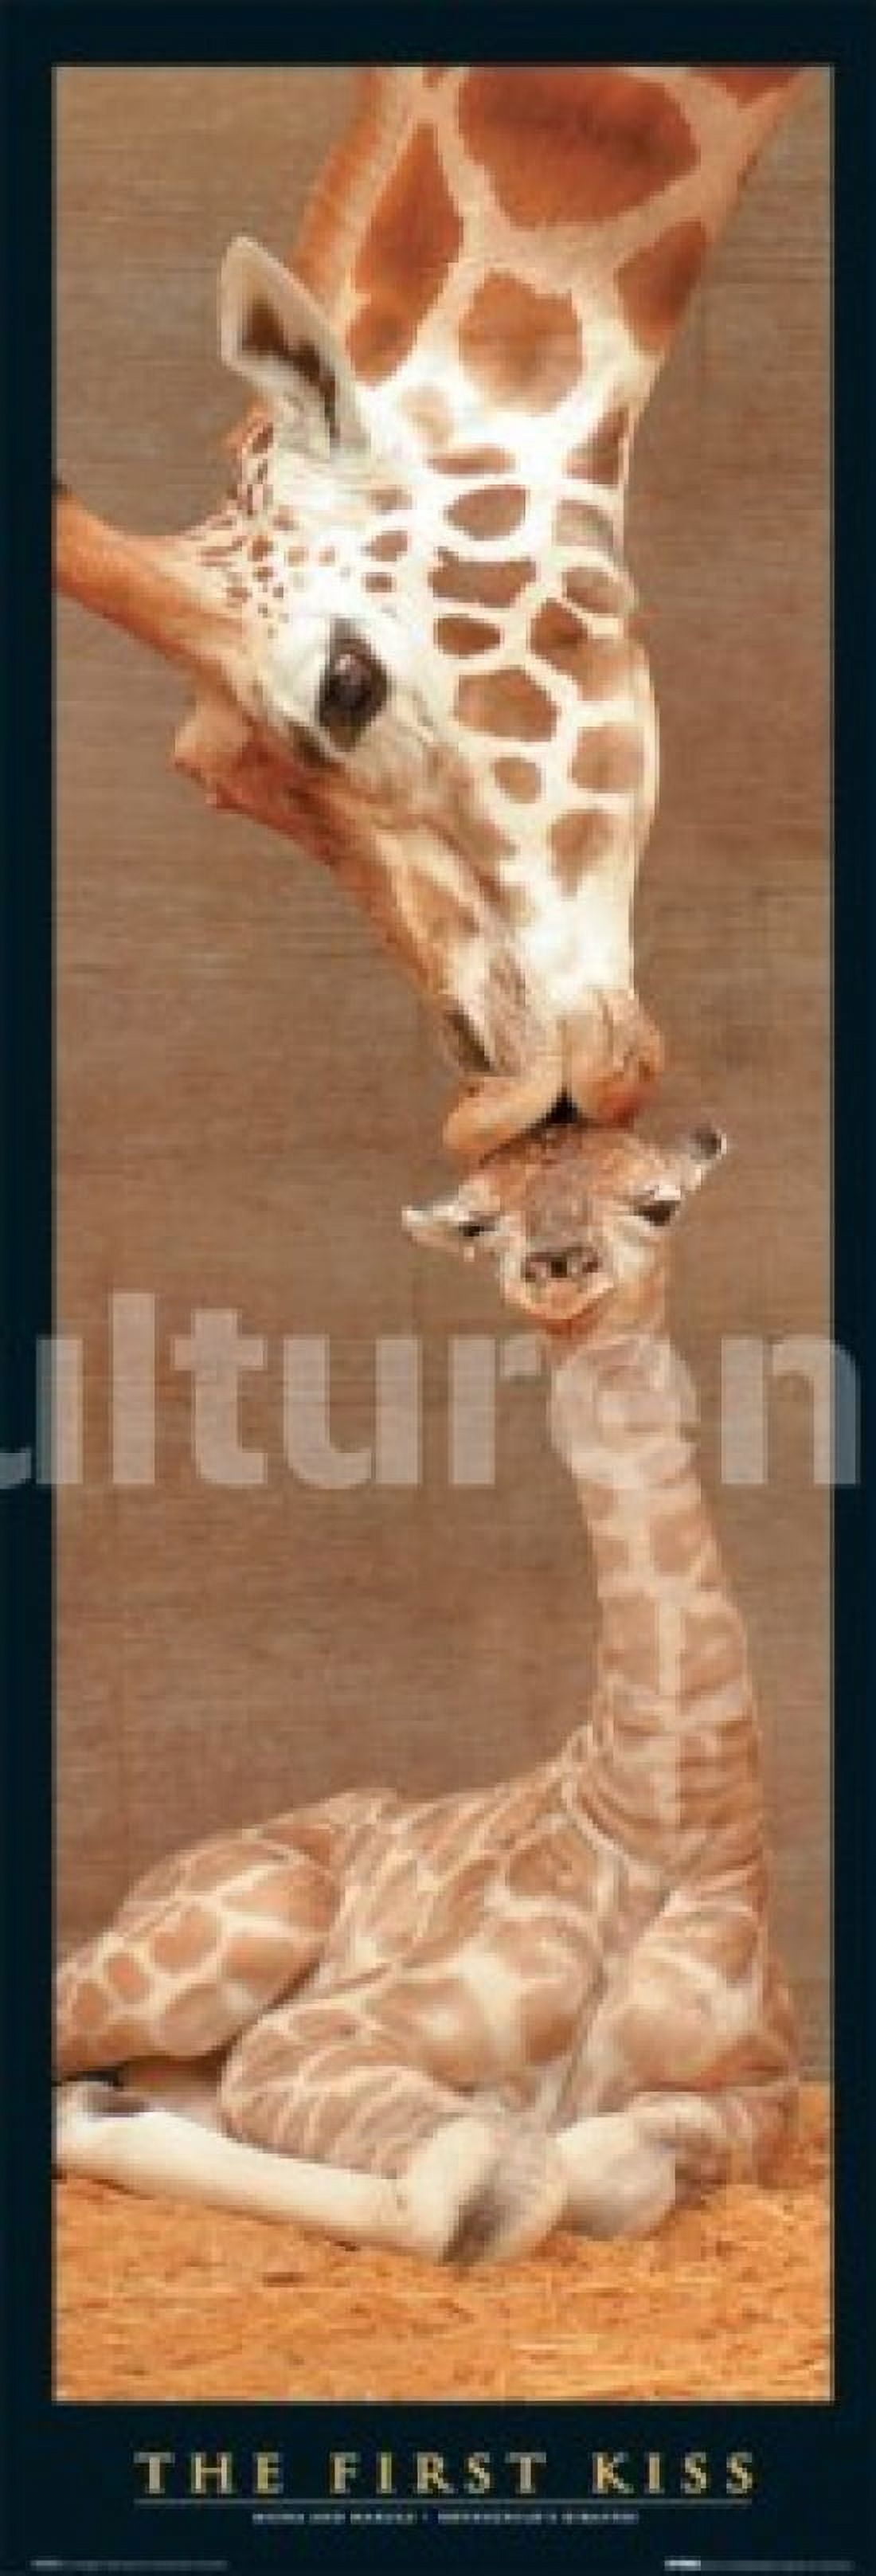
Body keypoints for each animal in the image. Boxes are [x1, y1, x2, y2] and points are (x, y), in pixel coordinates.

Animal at [56, 1115, 797, 2262]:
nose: (558, 1264)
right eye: (479, 1223)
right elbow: (500, 2174)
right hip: (241, 1921)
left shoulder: (768, 2090)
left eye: (658, 1202)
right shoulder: (309, 2034)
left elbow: (607, 2166)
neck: (667, 1816)